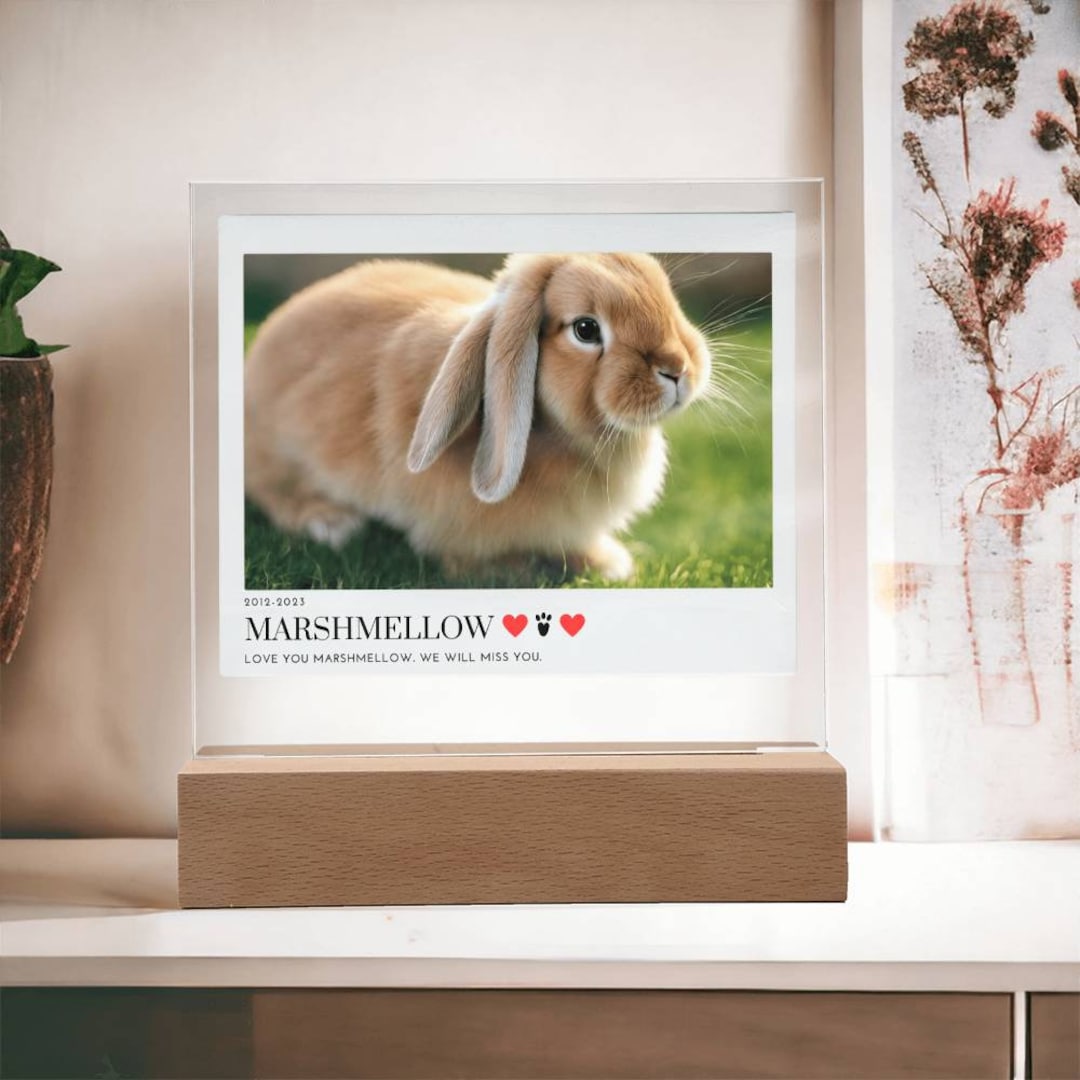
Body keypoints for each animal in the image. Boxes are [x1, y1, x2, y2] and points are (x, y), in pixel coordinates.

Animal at [244, 252, 712, 581]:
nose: (678, 368)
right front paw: (523, 570)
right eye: (586, 329)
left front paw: (607, 563)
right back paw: (329, 522)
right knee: (270, 491)